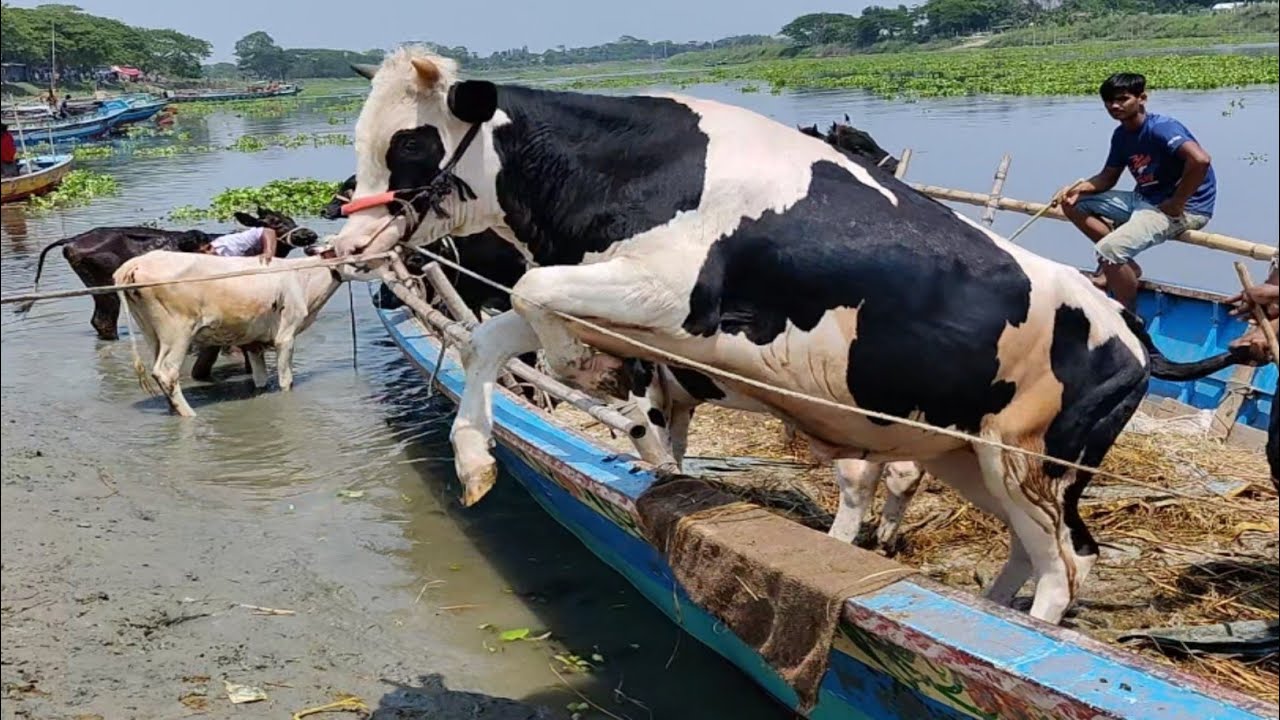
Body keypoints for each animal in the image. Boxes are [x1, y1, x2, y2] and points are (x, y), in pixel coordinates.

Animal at [21, 208, 318, 381]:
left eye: (290, 218)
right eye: (276, 222)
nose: (310, 234)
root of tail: (72, 240)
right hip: (105, 291)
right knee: (103, 322)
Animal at [113, 251, 344, 417]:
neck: (303, 276)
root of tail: (134, 264)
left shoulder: (254, 340)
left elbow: (260, 379)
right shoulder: (286, 335)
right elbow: (286, 381)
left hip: (151, 333)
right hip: (178, 332)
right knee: (166, 372)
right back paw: (189, 415)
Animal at [316, 48, 1251, 624]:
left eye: (409, 147)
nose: (342, 242)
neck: (627, 169)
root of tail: (1127, 327)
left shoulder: (675, 299)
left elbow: (534, 300)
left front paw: (582, 365)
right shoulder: (605, 286)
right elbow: (492, 336)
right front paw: (476, 457)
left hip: (1033, 462)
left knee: (1067, 564)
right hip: (971, 455)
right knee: (1040, 552)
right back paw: (992, 608)